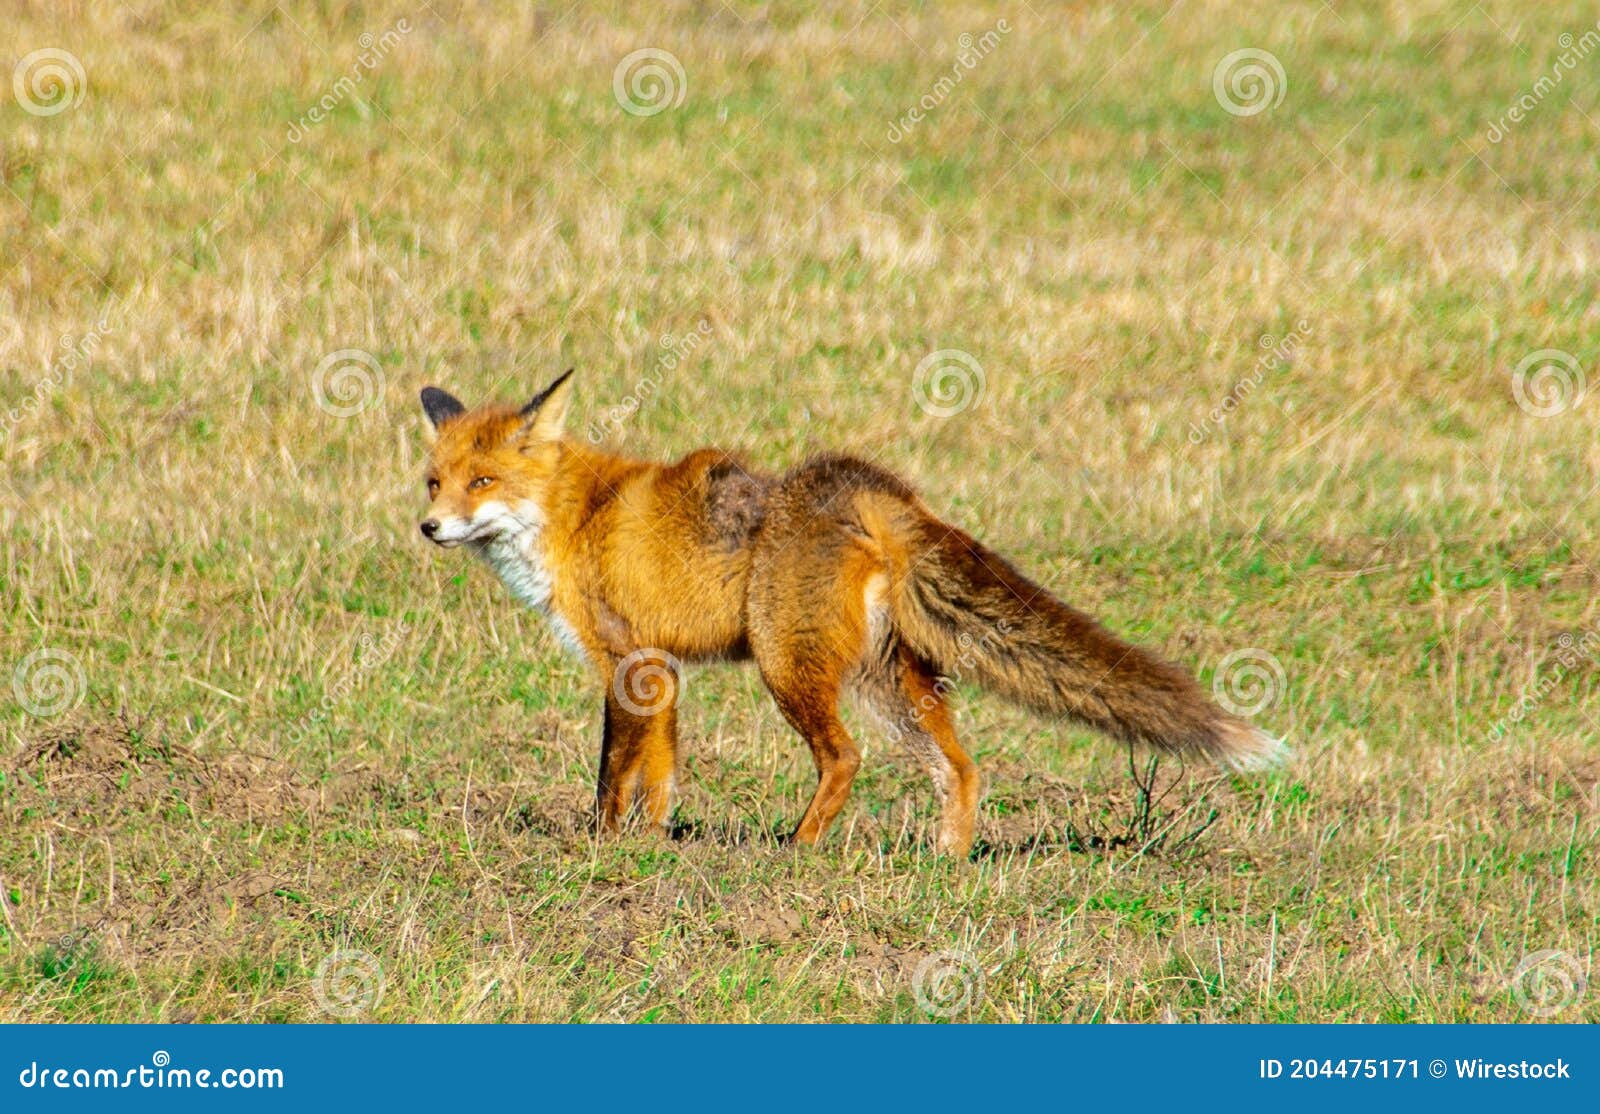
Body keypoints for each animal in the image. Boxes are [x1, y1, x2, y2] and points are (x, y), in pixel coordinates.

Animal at [416, 371, 1284, 856]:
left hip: (789, 667)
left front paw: (602, 849)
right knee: (961, 767)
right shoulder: (659, 672)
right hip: (888, 680)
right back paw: (946, 864)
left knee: (844, 760)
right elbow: (659, 776)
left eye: (484, 482)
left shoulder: (627, 664)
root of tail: (869, 490)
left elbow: (610, 778)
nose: (428, 528)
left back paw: (795, 851)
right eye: (435, 481)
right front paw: (653, 848)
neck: (573, 517)